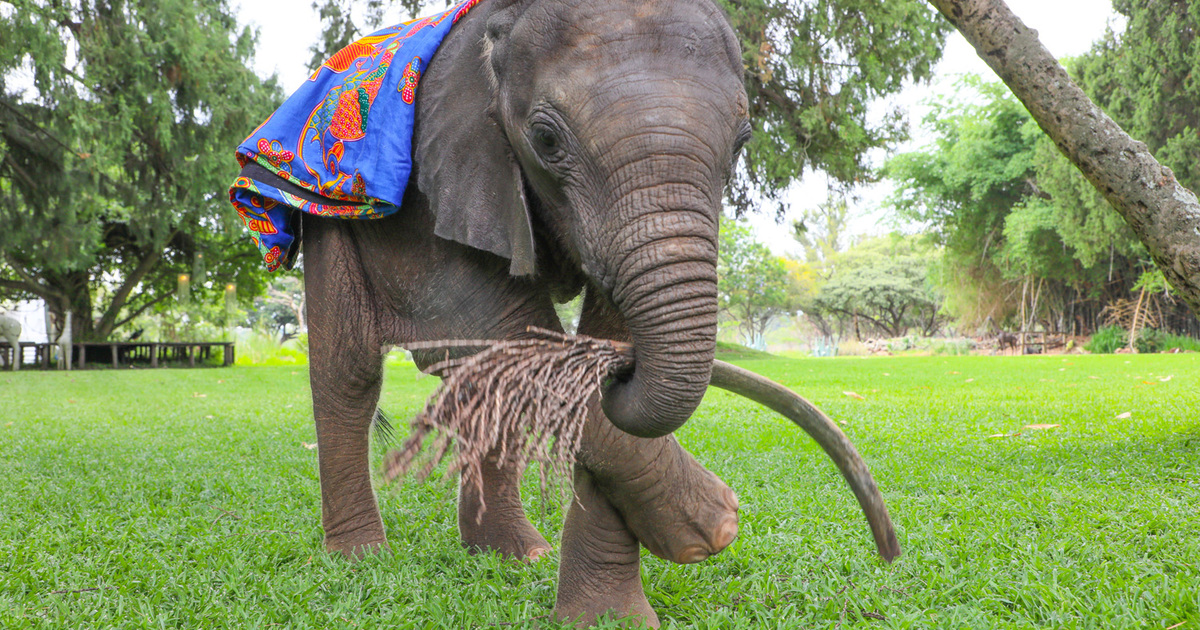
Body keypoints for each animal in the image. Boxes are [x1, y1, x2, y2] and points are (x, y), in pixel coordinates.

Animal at [244, 0, 897, 625]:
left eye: (742, 142)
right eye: (545, 140)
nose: (890, 551)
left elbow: (583, 335)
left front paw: (609, 618)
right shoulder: (440, 171)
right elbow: (489, 327)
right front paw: (711, 524)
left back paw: (516, 557)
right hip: (330, 217)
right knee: (351, 373)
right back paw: (359, 558)